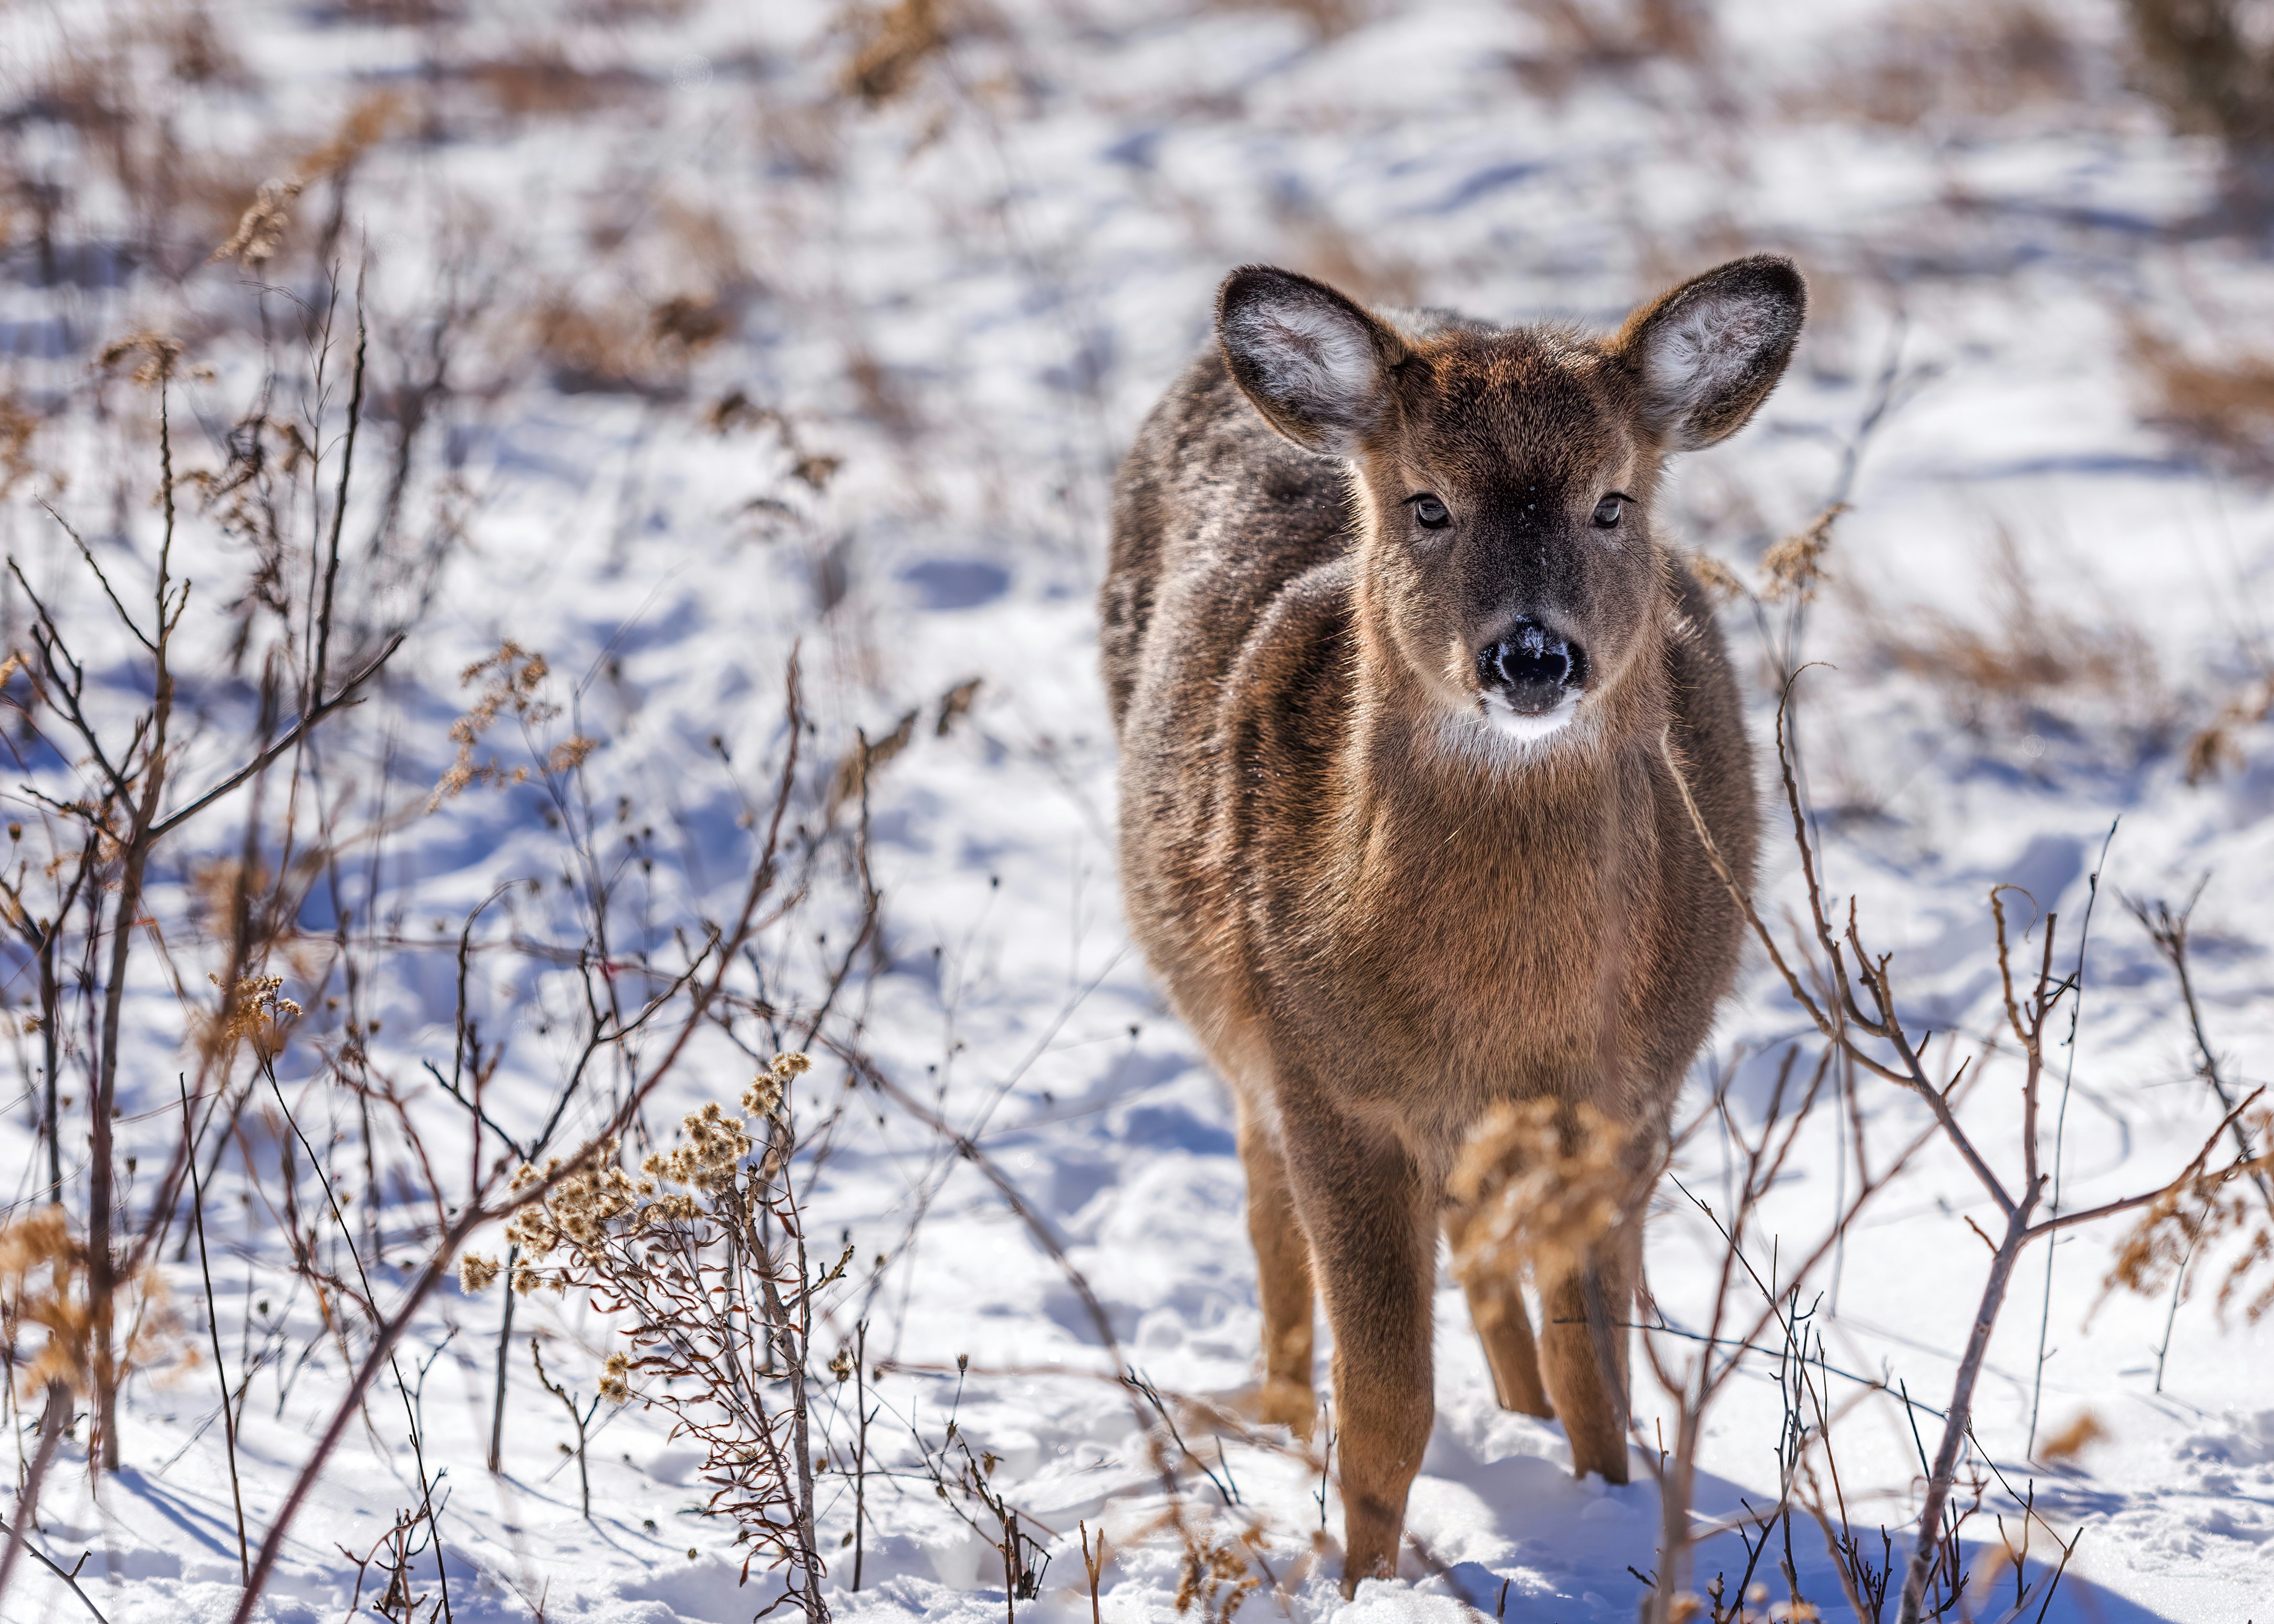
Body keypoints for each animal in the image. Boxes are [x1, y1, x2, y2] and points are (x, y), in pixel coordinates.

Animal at [1099, 255, 1804, 1588]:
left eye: (1611, 500)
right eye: (1426, 504)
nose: (1531, 656)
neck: (1505, 1012)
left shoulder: (1620, 1100)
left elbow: (1596, 1366)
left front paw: (1602, 1510)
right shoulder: (1331, 1087)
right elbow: (1385, 1398)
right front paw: (1363, 1577)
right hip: (1247, 1031)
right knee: (1269, 1219)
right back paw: (1277, 1414)